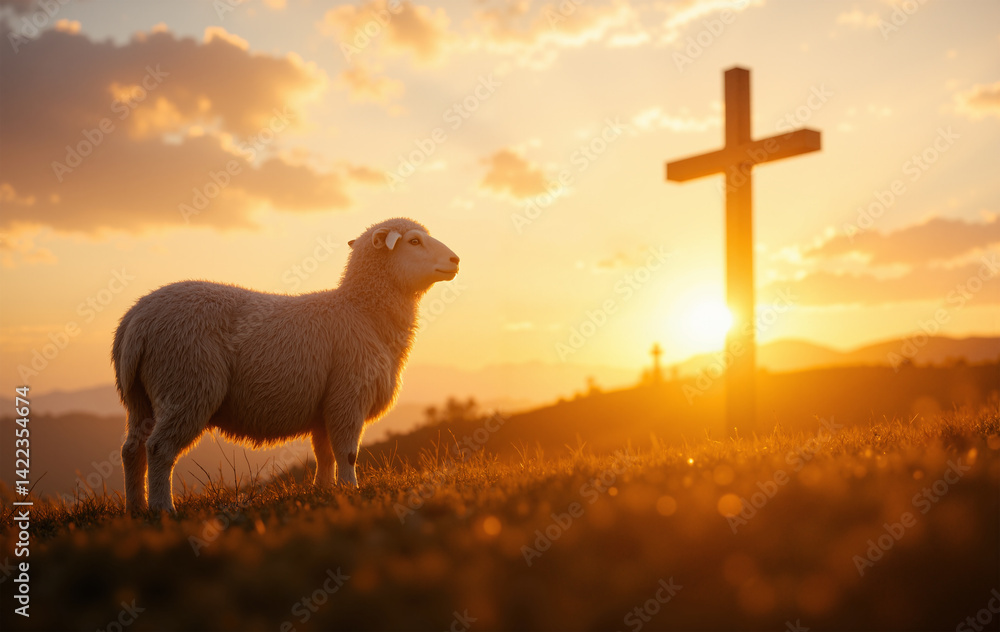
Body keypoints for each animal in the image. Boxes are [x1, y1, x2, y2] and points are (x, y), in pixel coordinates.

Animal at [112, 217, 459, 513]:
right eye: (414, 241)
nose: (456, 260)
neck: (362, 312)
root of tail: (136, 321)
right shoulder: (348, 394)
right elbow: (347, 452)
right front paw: (352, 489)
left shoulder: (327, 404)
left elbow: (324, 453)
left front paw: (325, 491)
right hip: (187, 383)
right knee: (159, 448)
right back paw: (162, 508)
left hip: (140, 398)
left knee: (131, 450)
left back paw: (136, 509)